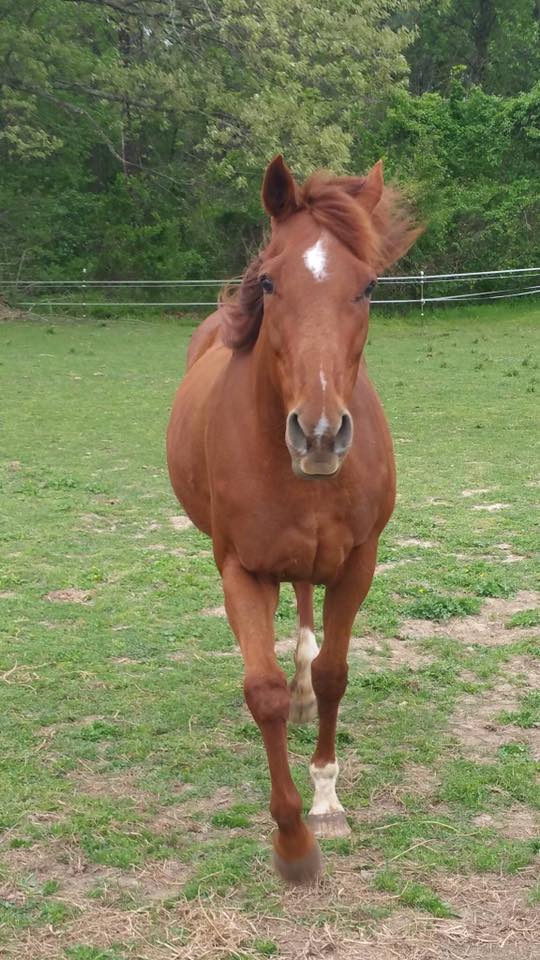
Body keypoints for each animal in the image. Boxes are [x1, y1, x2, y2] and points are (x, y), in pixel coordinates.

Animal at [167, 155, 420, 883]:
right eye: (271, 281)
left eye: (368, 287)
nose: (320, 434)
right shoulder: (241, 570)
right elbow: (263, 692)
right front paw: (292, 843)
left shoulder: (359, 563)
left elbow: (336, 673)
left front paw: (327, 801)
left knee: (308, 620)